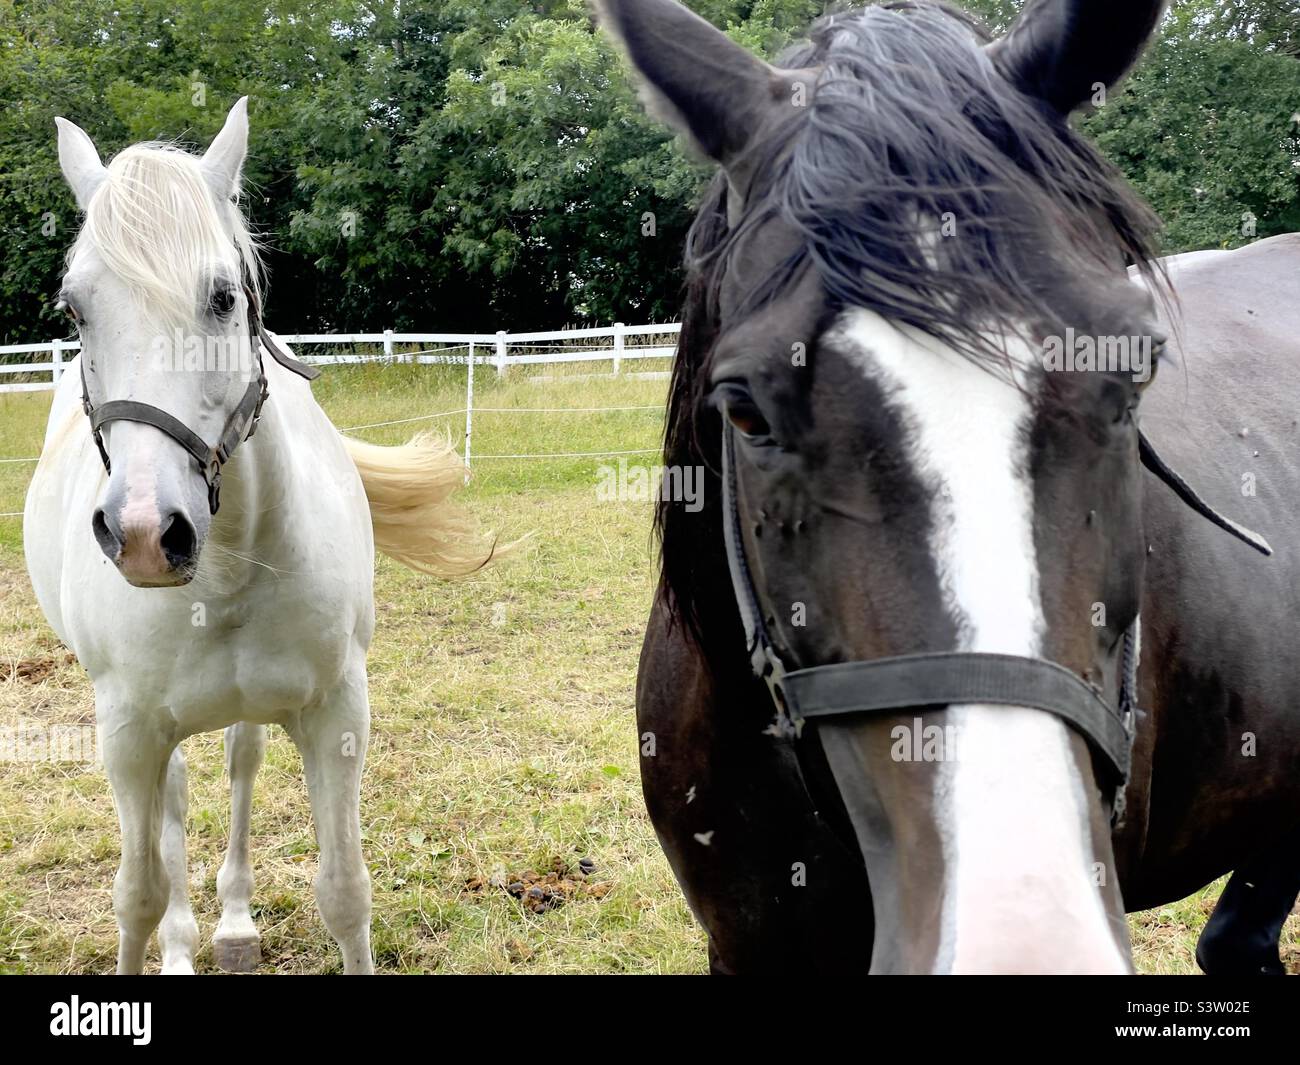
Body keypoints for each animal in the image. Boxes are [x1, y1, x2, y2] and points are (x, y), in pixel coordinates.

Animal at [24, 98, 497, 974]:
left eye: (221, 297)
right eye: (75, 308)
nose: (146, 531)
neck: (225, 573)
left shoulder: (337, 713)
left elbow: (345, 890)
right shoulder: (127, 734)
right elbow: (135, 896)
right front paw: (161, 937)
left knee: (240, 761)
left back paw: (235, 922)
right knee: (175, 804)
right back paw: (184, 943)